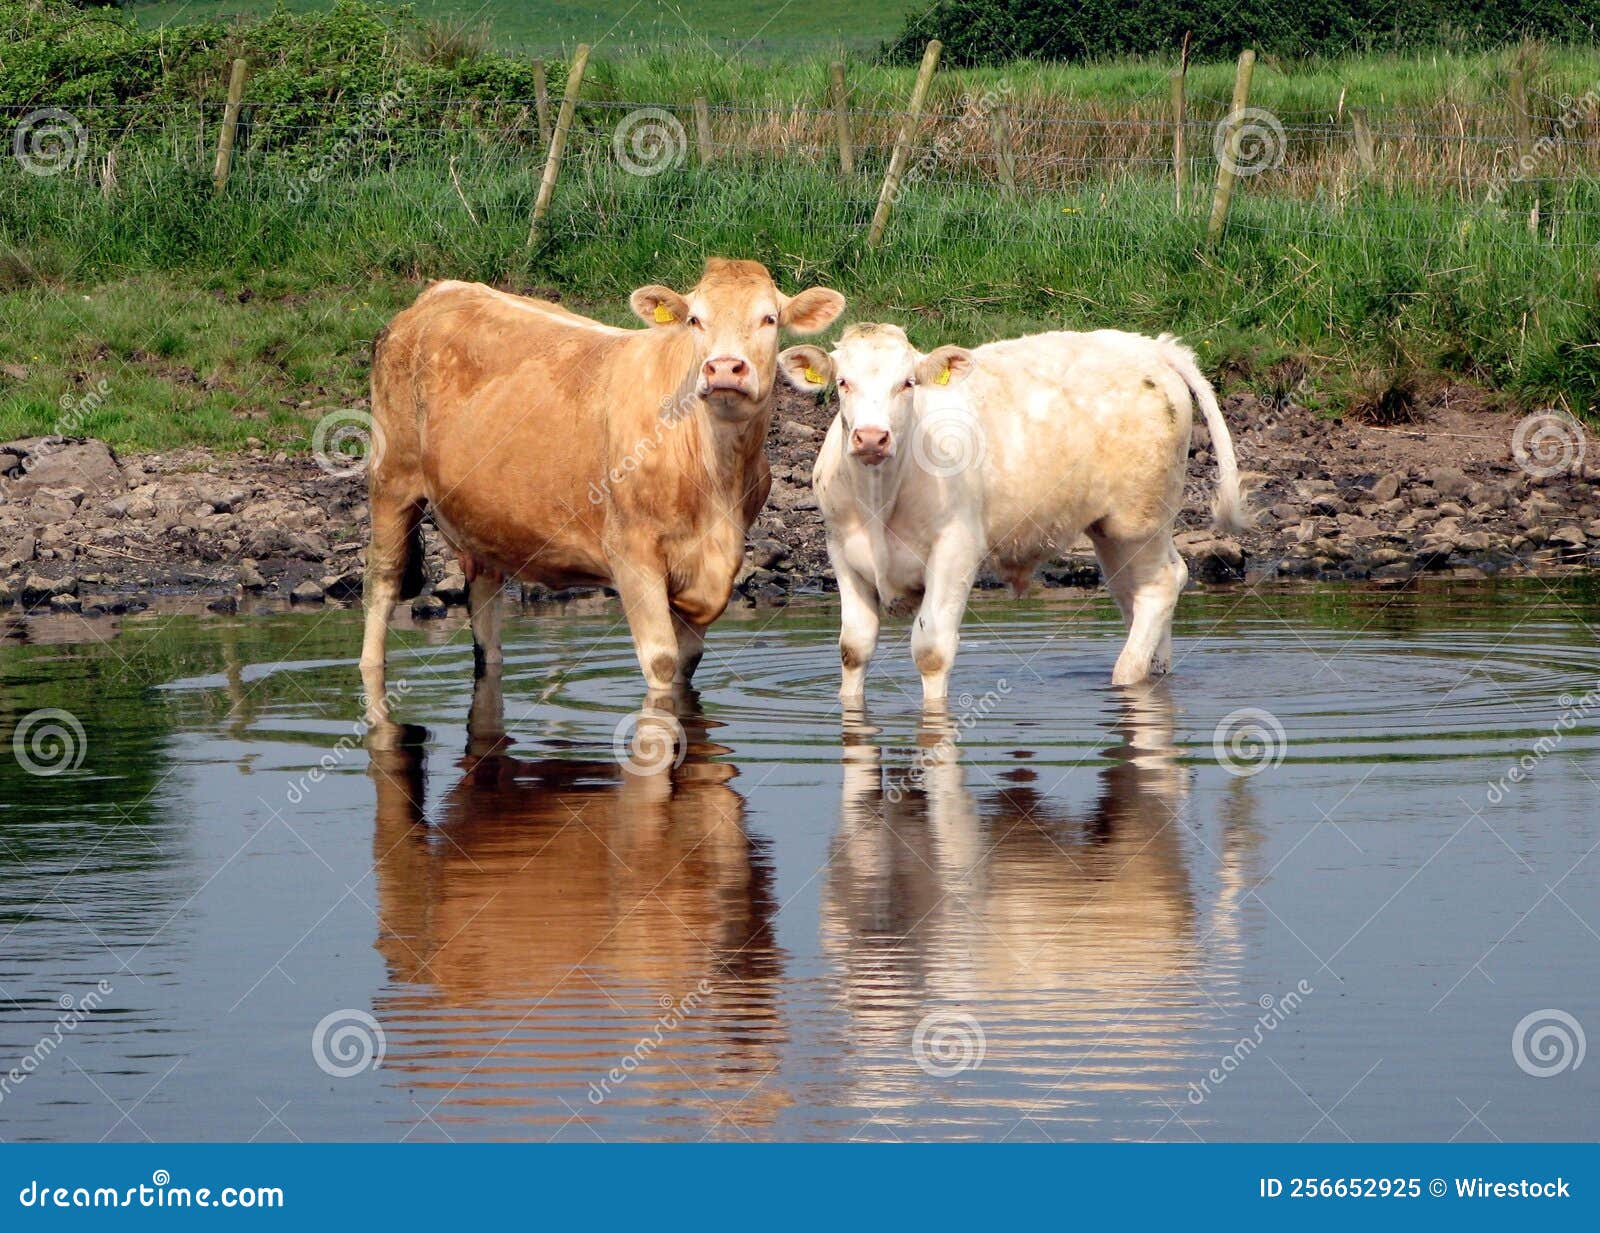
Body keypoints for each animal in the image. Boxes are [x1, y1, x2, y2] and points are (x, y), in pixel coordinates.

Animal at [360, 259, 844, 718]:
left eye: (769, 318)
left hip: (484, 516)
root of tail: (441, 291)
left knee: (484, 611)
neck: (714, 473)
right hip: (393, 477)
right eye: (695, 320)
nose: (724, 367)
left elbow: (685, 664)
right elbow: (661, 662)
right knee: (382, 581)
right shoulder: (632, 554)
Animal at [778, 324, 1244, 701]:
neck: (881, 497)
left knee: (1159, 586)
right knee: (1138, 594)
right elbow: (853, 649)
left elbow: (931, 651)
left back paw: (1125, 676)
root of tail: (1150, 345)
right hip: (1114, 530)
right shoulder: (842, 551)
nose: (872, 437)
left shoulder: (956, 550)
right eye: (843, 382)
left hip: (1139, 518)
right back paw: (1152, 669)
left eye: (907, 383)